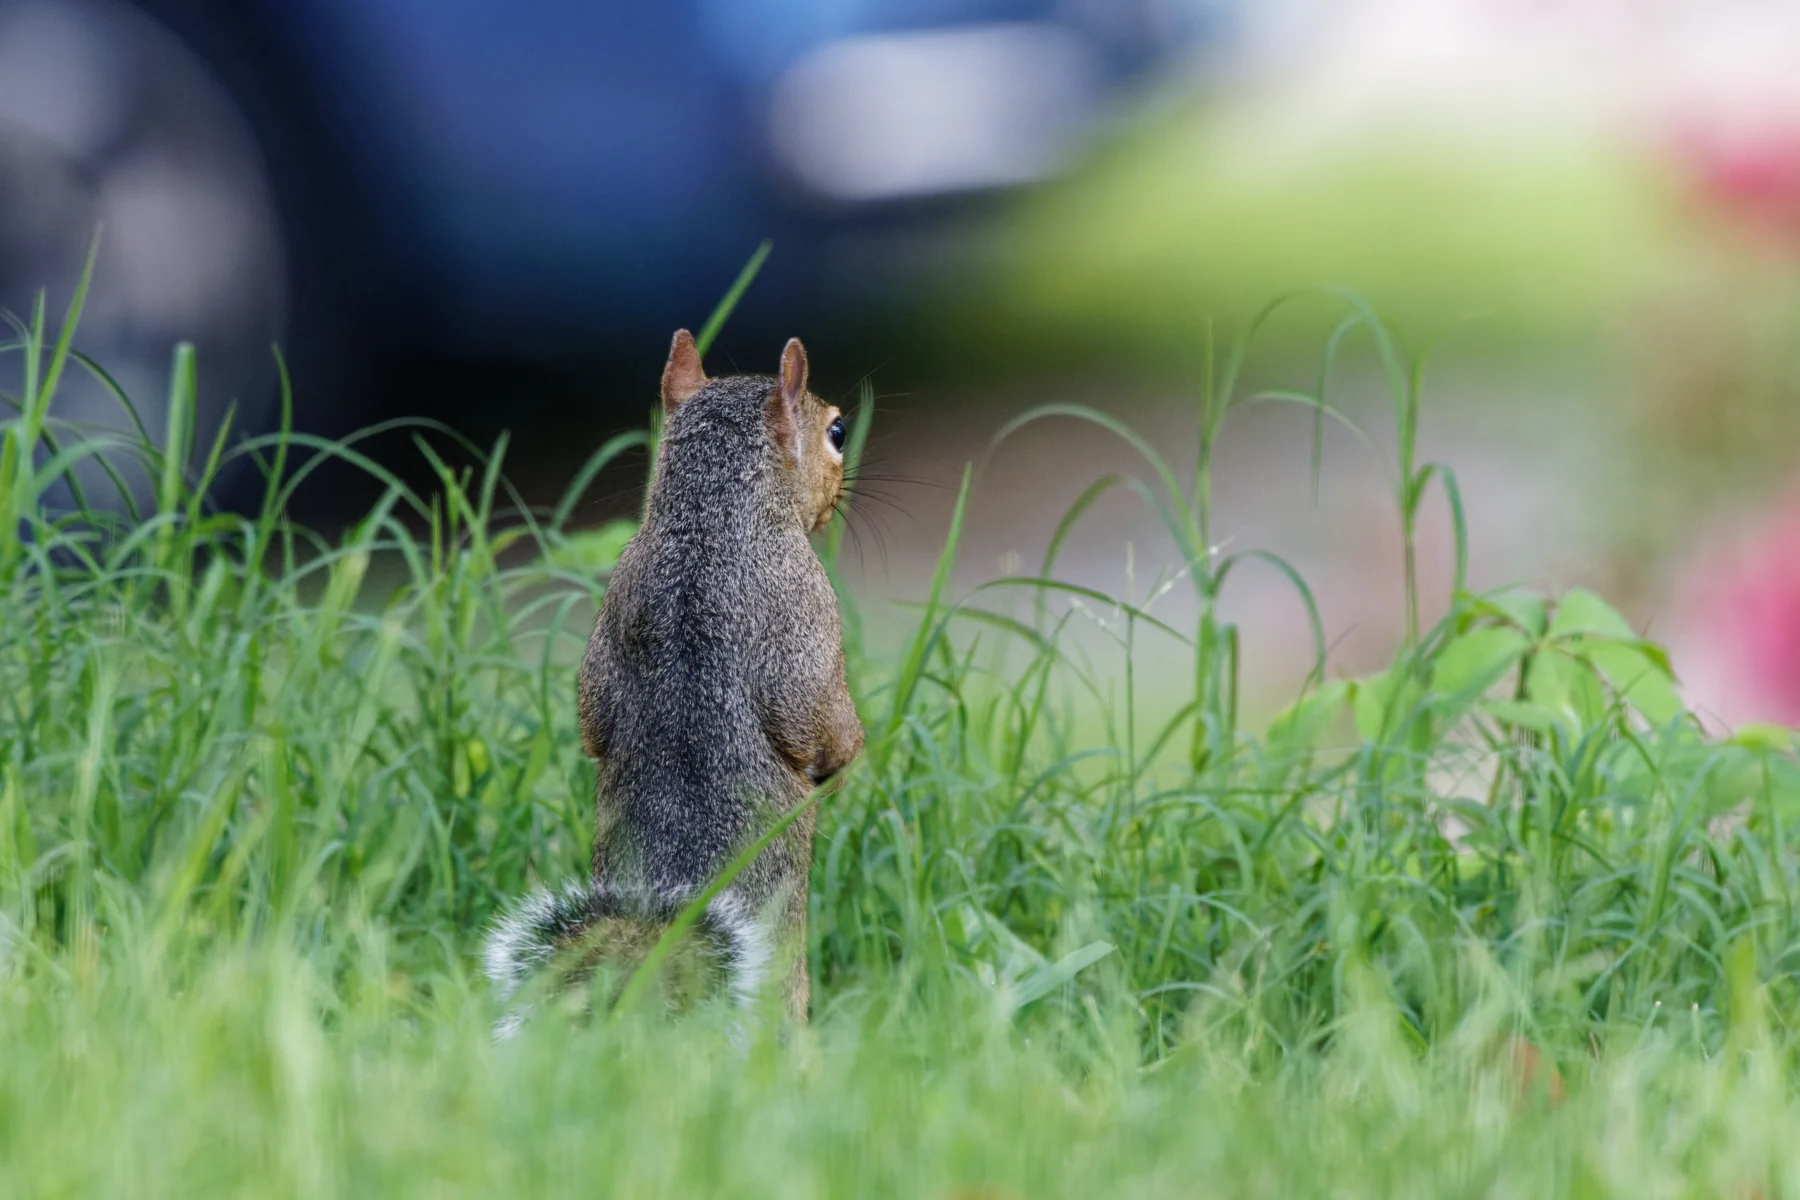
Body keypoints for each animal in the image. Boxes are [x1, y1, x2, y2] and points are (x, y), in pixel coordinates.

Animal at [484, 330, 863, 1034]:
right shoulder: (807, 606)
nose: (838, 495)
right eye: (838, 431)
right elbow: (815, 715)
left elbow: (594, 715)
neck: (710, 514)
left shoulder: (618, 595)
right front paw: (842, 764)